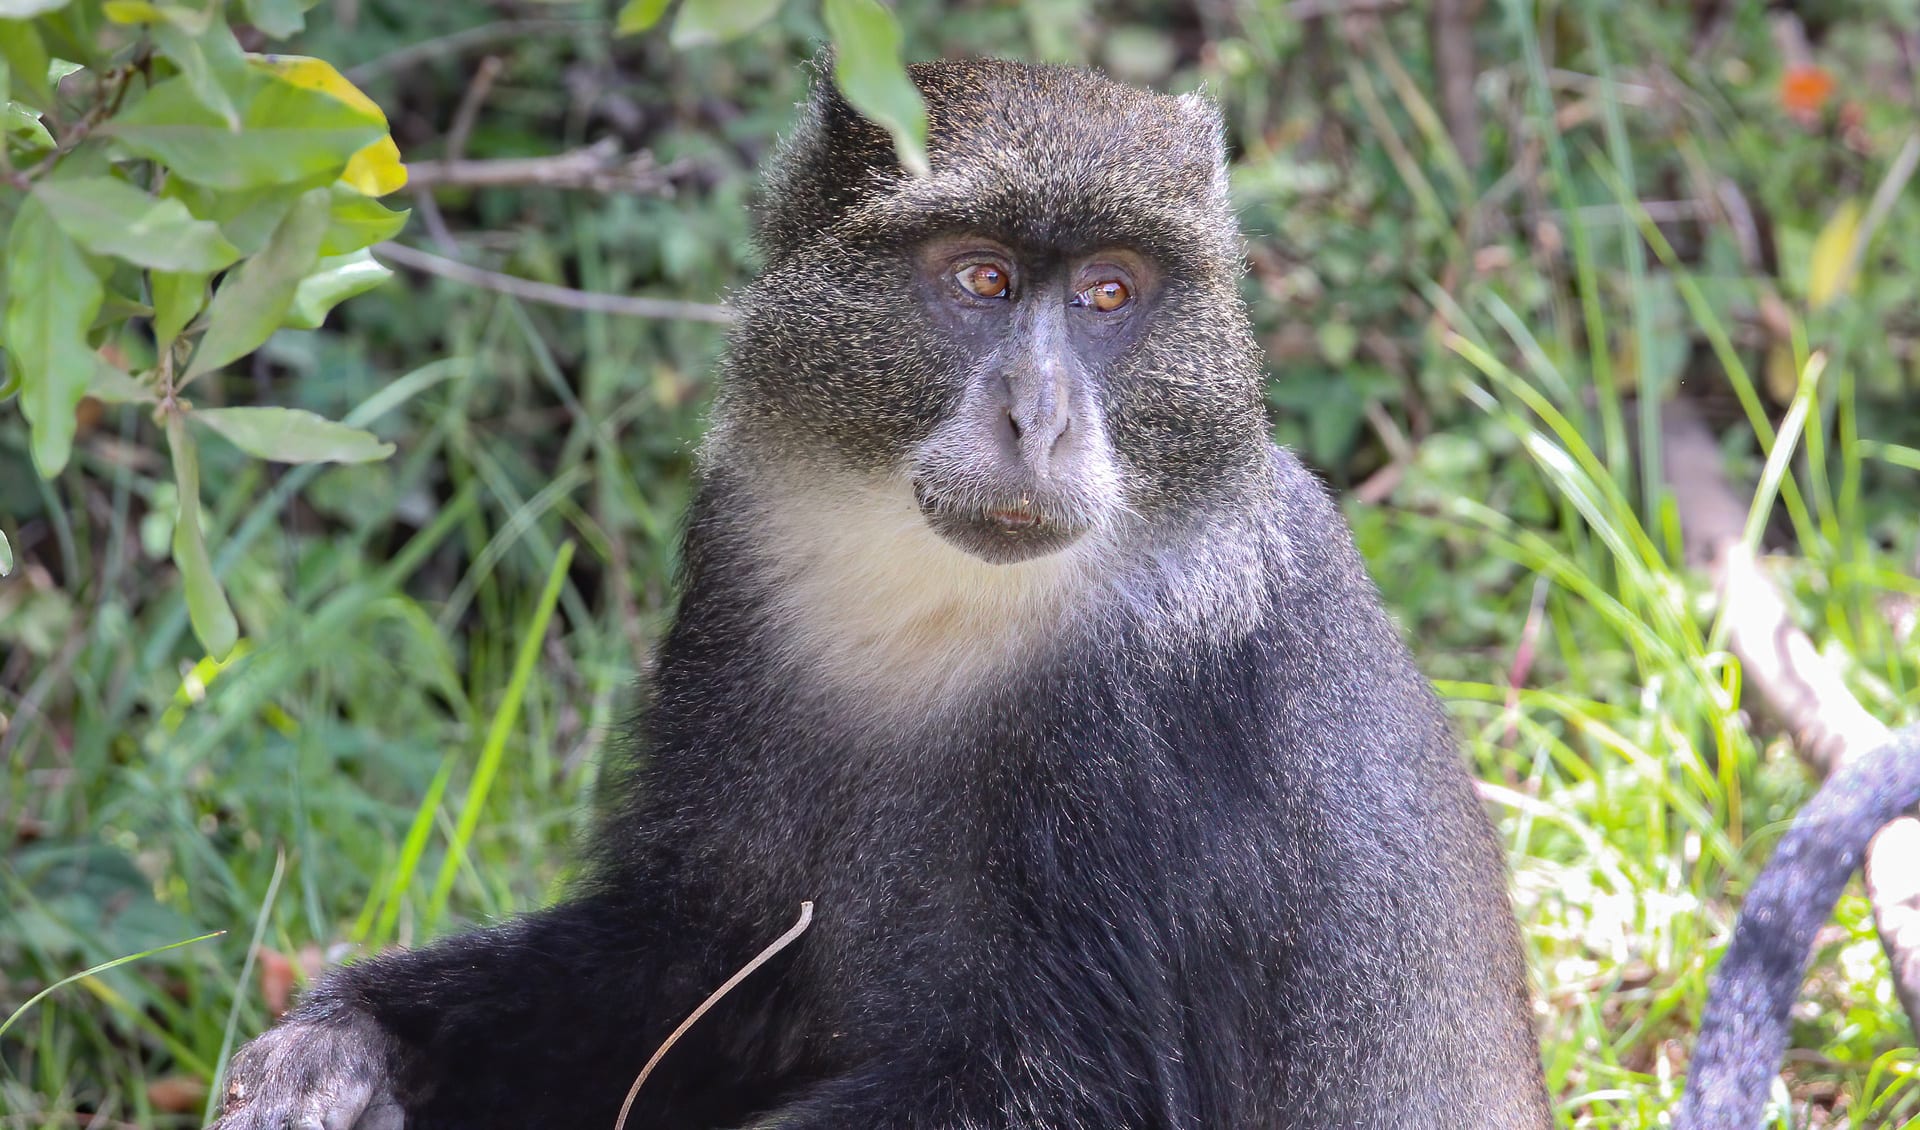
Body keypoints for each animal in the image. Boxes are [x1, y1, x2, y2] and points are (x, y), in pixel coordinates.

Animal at [208, 60, 1920, 1130]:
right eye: (978, 277)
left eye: (1108, 293)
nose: (1037, 412)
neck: (938, 610)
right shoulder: (736, 566)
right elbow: (698, 958)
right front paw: (342, 1040)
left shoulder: (1167, 703)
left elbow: (1069, 1081)